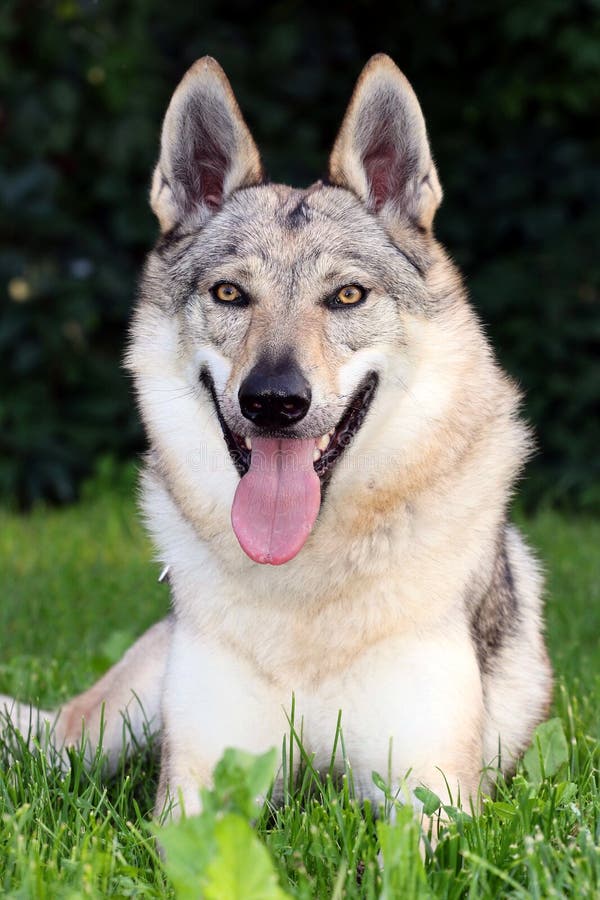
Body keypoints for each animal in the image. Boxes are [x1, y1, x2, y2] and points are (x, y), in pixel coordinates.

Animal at [1, 54, 552, 823]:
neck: (303, 590)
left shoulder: (432, 798)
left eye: (347, 296)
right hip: (103, 731)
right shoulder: (195, 793)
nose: (272, 402)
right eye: (230, 294)